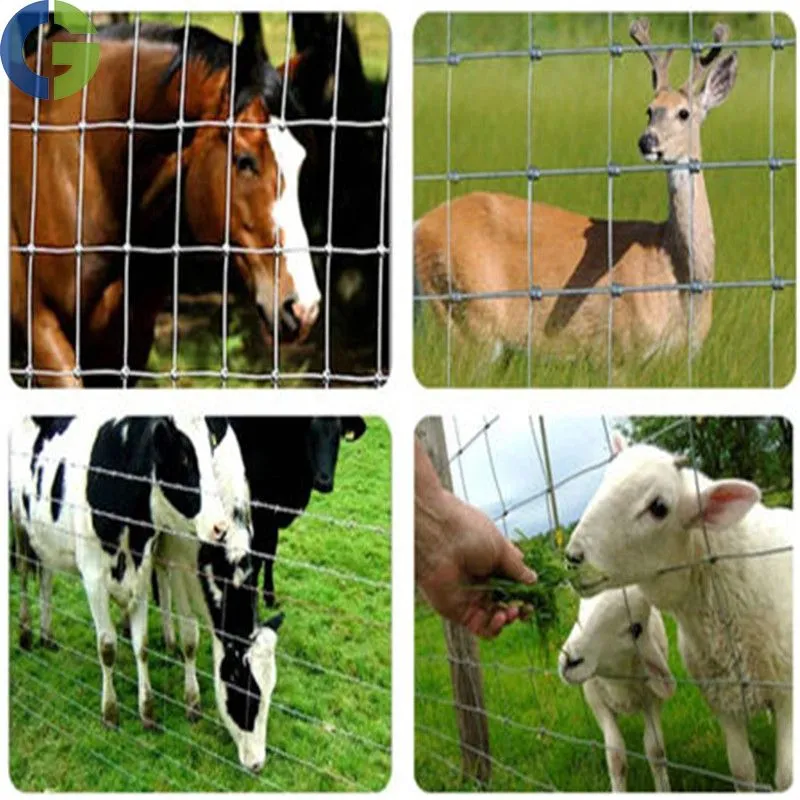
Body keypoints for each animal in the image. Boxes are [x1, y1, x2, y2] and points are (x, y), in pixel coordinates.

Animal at [559, 586, 675, 791]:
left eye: (635, 629)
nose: (571, 661)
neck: (617, 680)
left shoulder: (653, 701)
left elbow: (655, 750)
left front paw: (663, 788)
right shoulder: (597, 703)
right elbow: (615, 755)